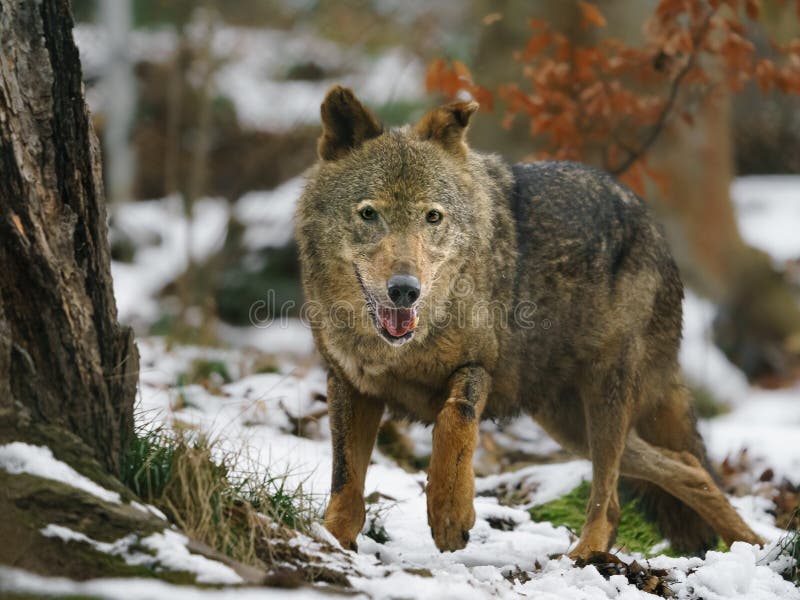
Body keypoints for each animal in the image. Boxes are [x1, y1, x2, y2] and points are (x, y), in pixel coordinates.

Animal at [294, 85, 764, 559]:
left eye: (433, 217)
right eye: (369, 214)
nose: (405, 289)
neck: (401, 348)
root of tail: (650, 220)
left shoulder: (476, 367)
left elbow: (453, 425)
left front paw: (450, 517)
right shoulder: (349, 384)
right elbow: (345, 480)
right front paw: (333, 540)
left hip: (603, 400)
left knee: (611, 498)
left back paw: (585, 555)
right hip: (569, 423)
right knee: (687, 467)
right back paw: (753, 544)